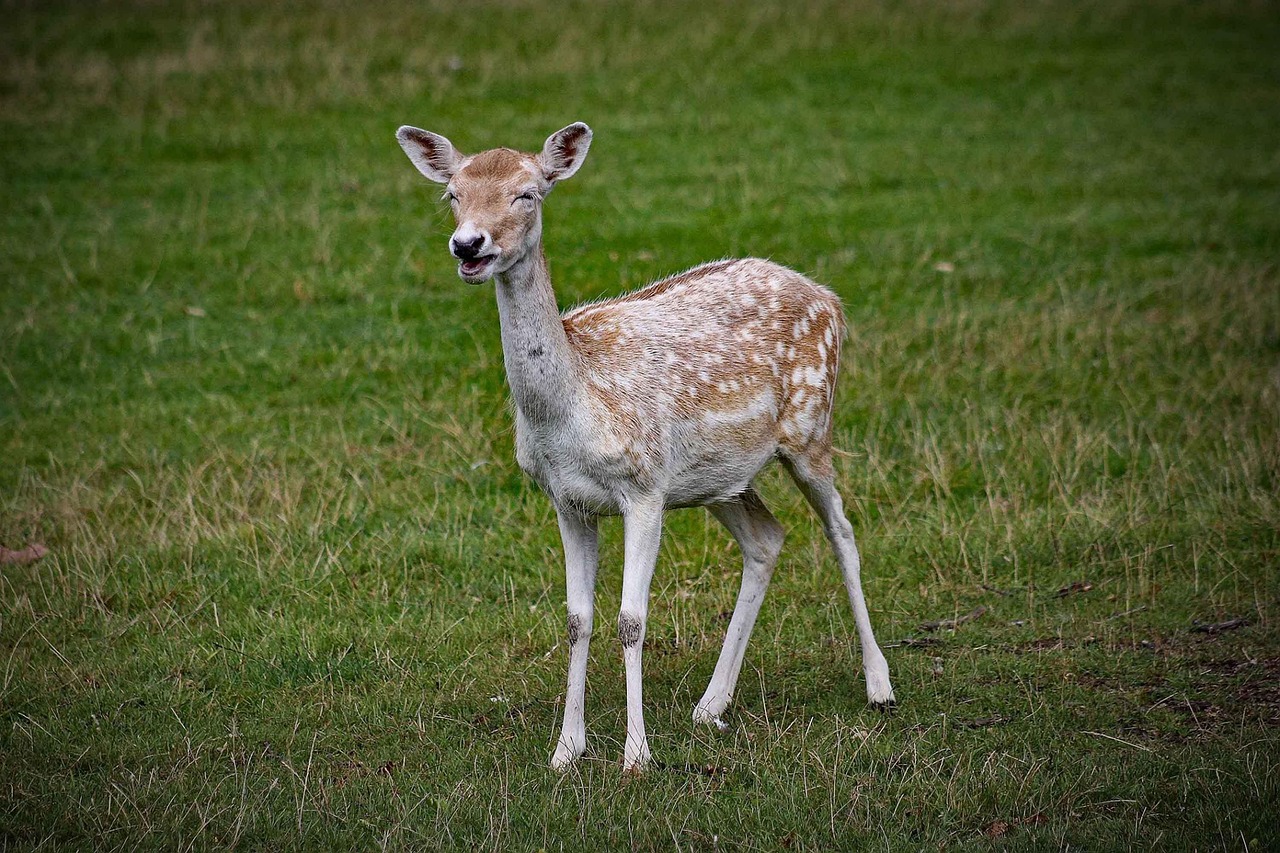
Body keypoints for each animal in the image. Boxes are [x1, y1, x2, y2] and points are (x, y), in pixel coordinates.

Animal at [395, 121, 895, 773]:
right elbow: (577, 620)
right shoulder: (567, 501)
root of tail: (830, 297)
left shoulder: (644, 488)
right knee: (767, 539)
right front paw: (566, 751)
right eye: (452, 194)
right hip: (721, 478)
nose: (468, 245)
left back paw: (879, 685)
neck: (575, 409)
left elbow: (631, 620)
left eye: (527, 193)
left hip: (811, 429)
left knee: (842, 530)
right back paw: (710, 705)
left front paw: (636, 756)